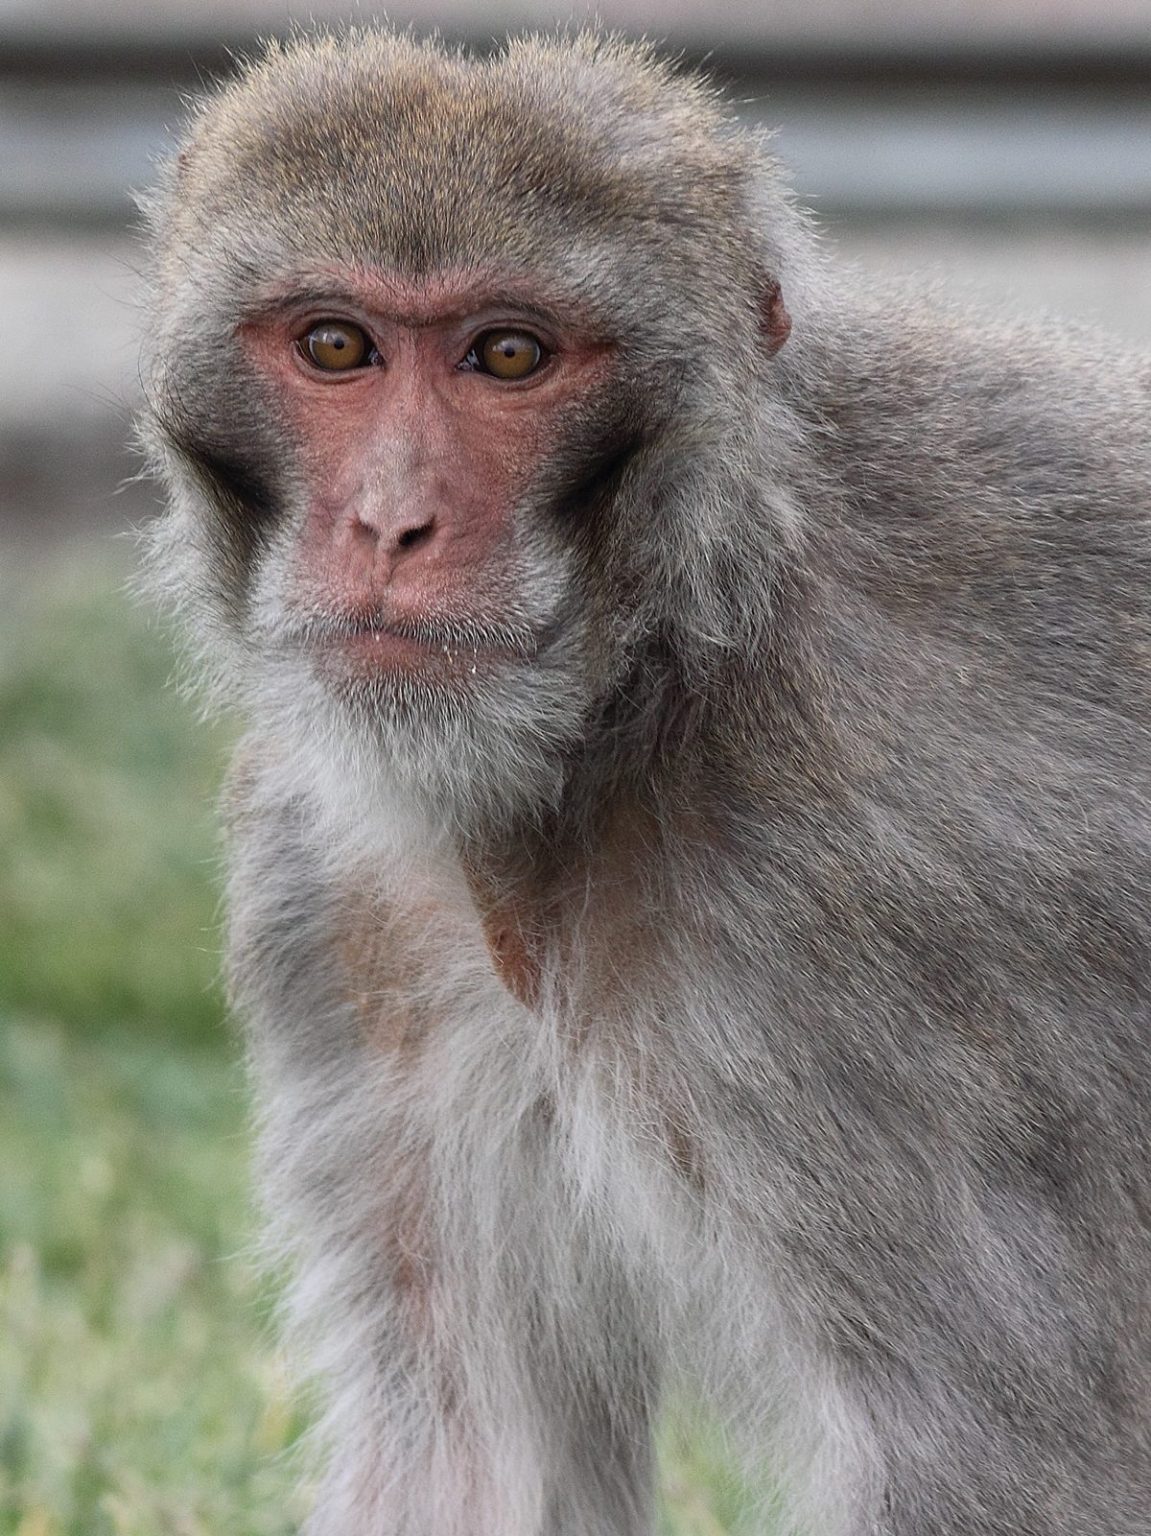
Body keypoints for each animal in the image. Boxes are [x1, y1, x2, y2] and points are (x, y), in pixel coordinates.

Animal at [138, 27, 1151, 1536]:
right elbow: (467, 1445)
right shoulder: (331, 887)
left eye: (508, 355)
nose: (389, 523)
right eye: (335, 347)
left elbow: (993, 1457)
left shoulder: (861, 928)